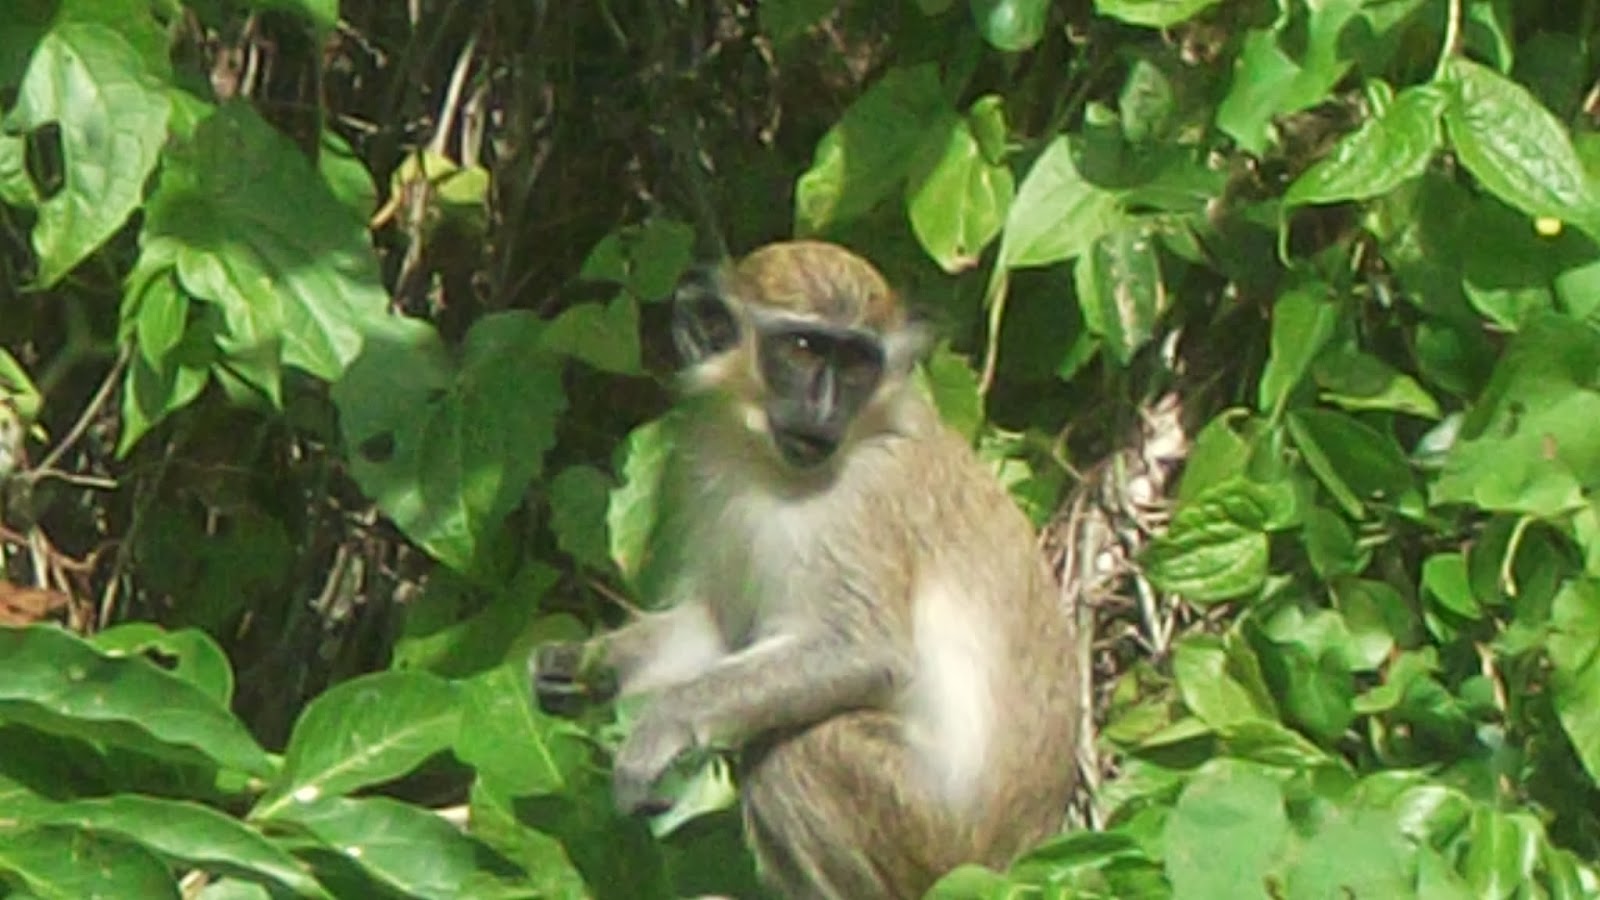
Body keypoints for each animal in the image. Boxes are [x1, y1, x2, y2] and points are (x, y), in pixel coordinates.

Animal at [532, 240, 1081, 900]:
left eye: (857, 365)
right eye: (802, 349)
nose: (823, 411)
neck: (774, 467)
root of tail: (1023, 853)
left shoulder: (864, 495)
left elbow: (865, 653)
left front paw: (663, 724)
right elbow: (719, 628)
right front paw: (585, 666)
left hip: (936, 838)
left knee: (791, 748)